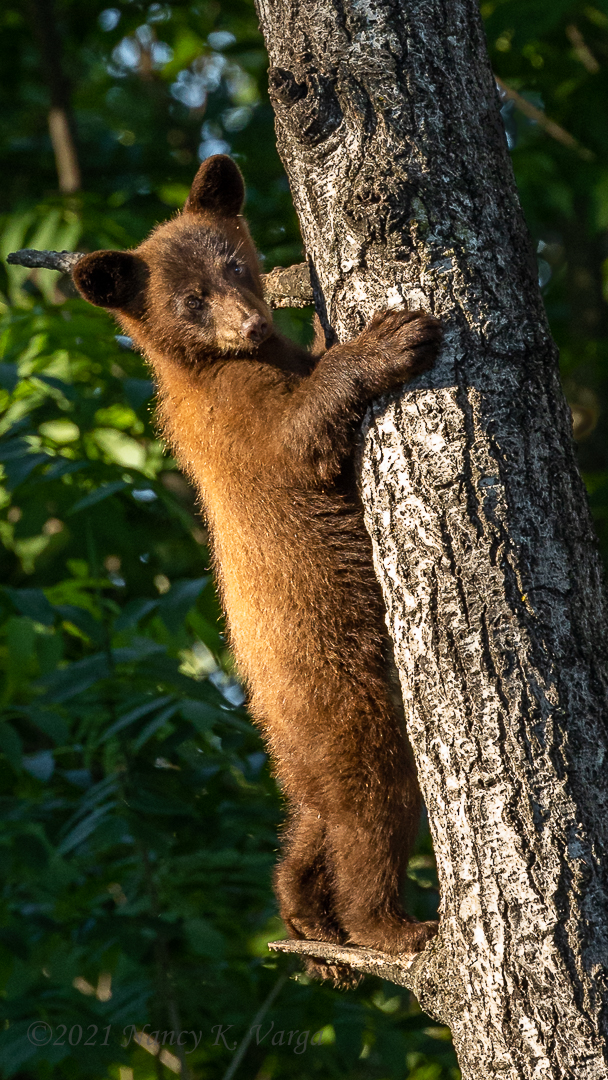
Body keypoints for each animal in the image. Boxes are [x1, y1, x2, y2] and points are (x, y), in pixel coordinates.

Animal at [72, 155, 442, 984]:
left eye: (235, 264)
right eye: (189, 299)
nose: (251, 324)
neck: (213, 365)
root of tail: (267, 709)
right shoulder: (234, 425)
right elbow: (300, 434)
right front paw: (388, 339)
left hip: (302, 741)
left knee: (310, 821)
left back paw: (310, 921)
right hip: (345, 698)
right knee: (371, 806)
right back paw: (390, 927)